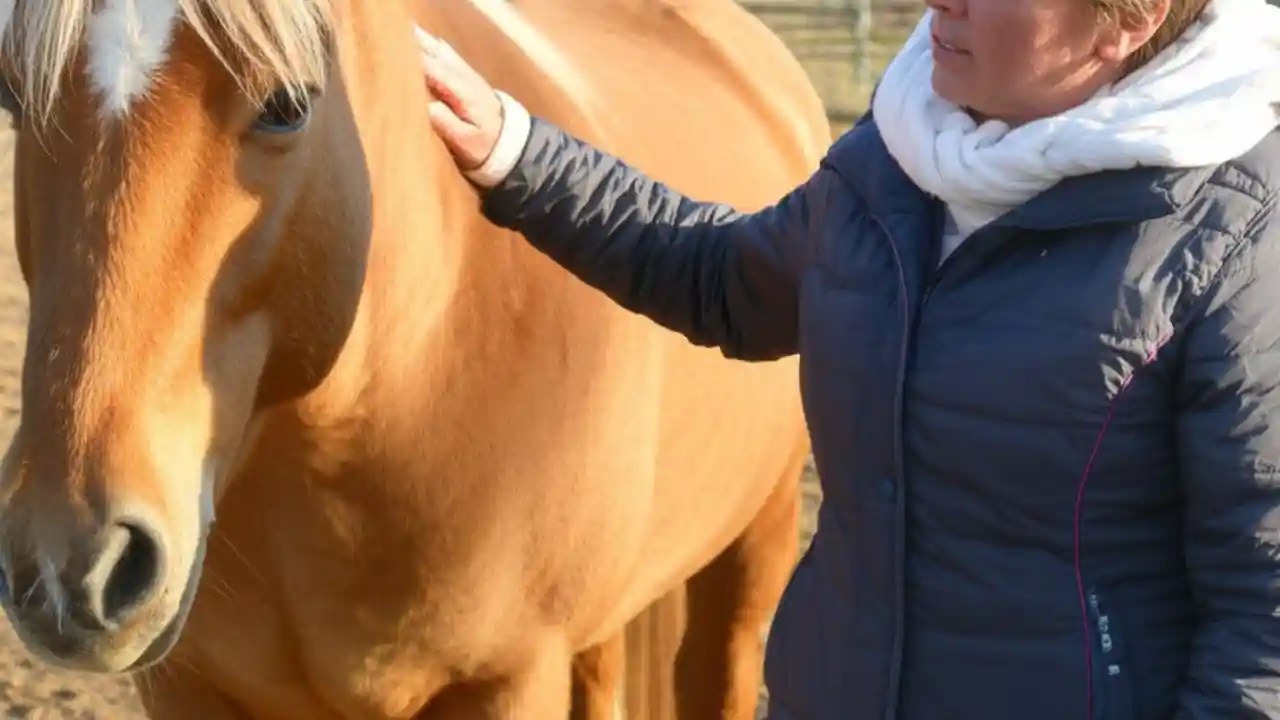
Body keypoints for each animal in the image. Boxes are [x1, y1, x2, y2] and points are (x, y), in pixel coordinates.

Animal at [0, 0, 830, 717]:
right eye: (12, 98)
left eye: (289, 103)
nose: (70, 564)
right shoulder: (191, 686)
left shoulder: (507, 682)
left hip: (757, 542)